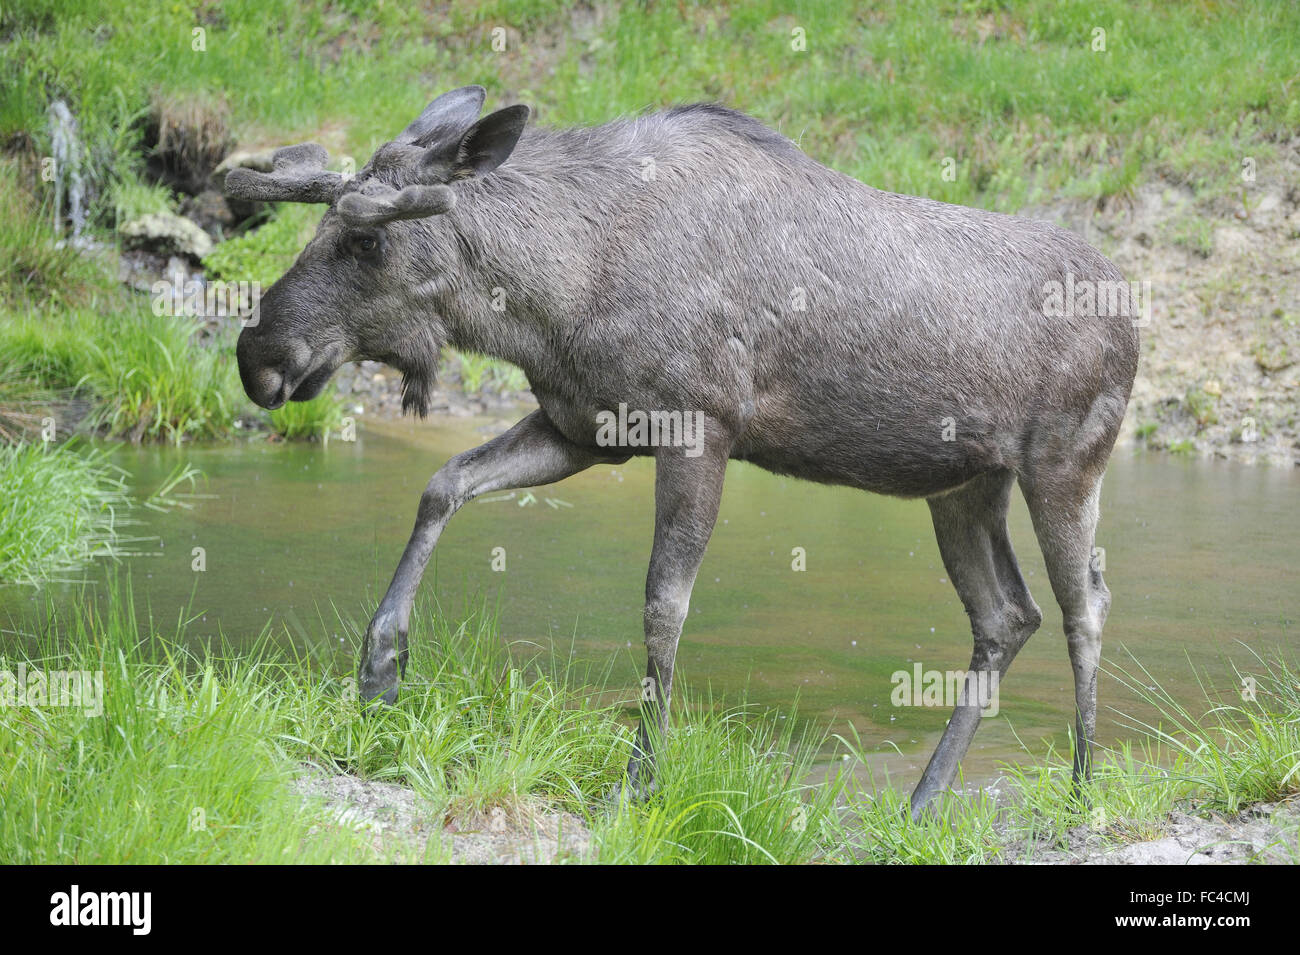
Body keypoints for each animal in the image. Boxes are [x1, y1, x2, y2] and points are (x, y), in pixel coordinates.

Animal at [225, 86, 1140, 816]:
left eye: (368, 240)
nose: (256, 354)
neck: (552, 296)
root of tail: (1134, 312)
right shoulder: (585, 428)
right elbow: (441, 485)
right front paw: (381, 663)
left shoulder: (698, 426)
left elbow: (664, 605)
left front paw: (641, 777)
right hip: (962, 485)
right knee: (1006, 613)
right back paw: (923, 797)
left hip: (1065, 462)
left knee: (1085, 602)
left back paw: (1081, 784)